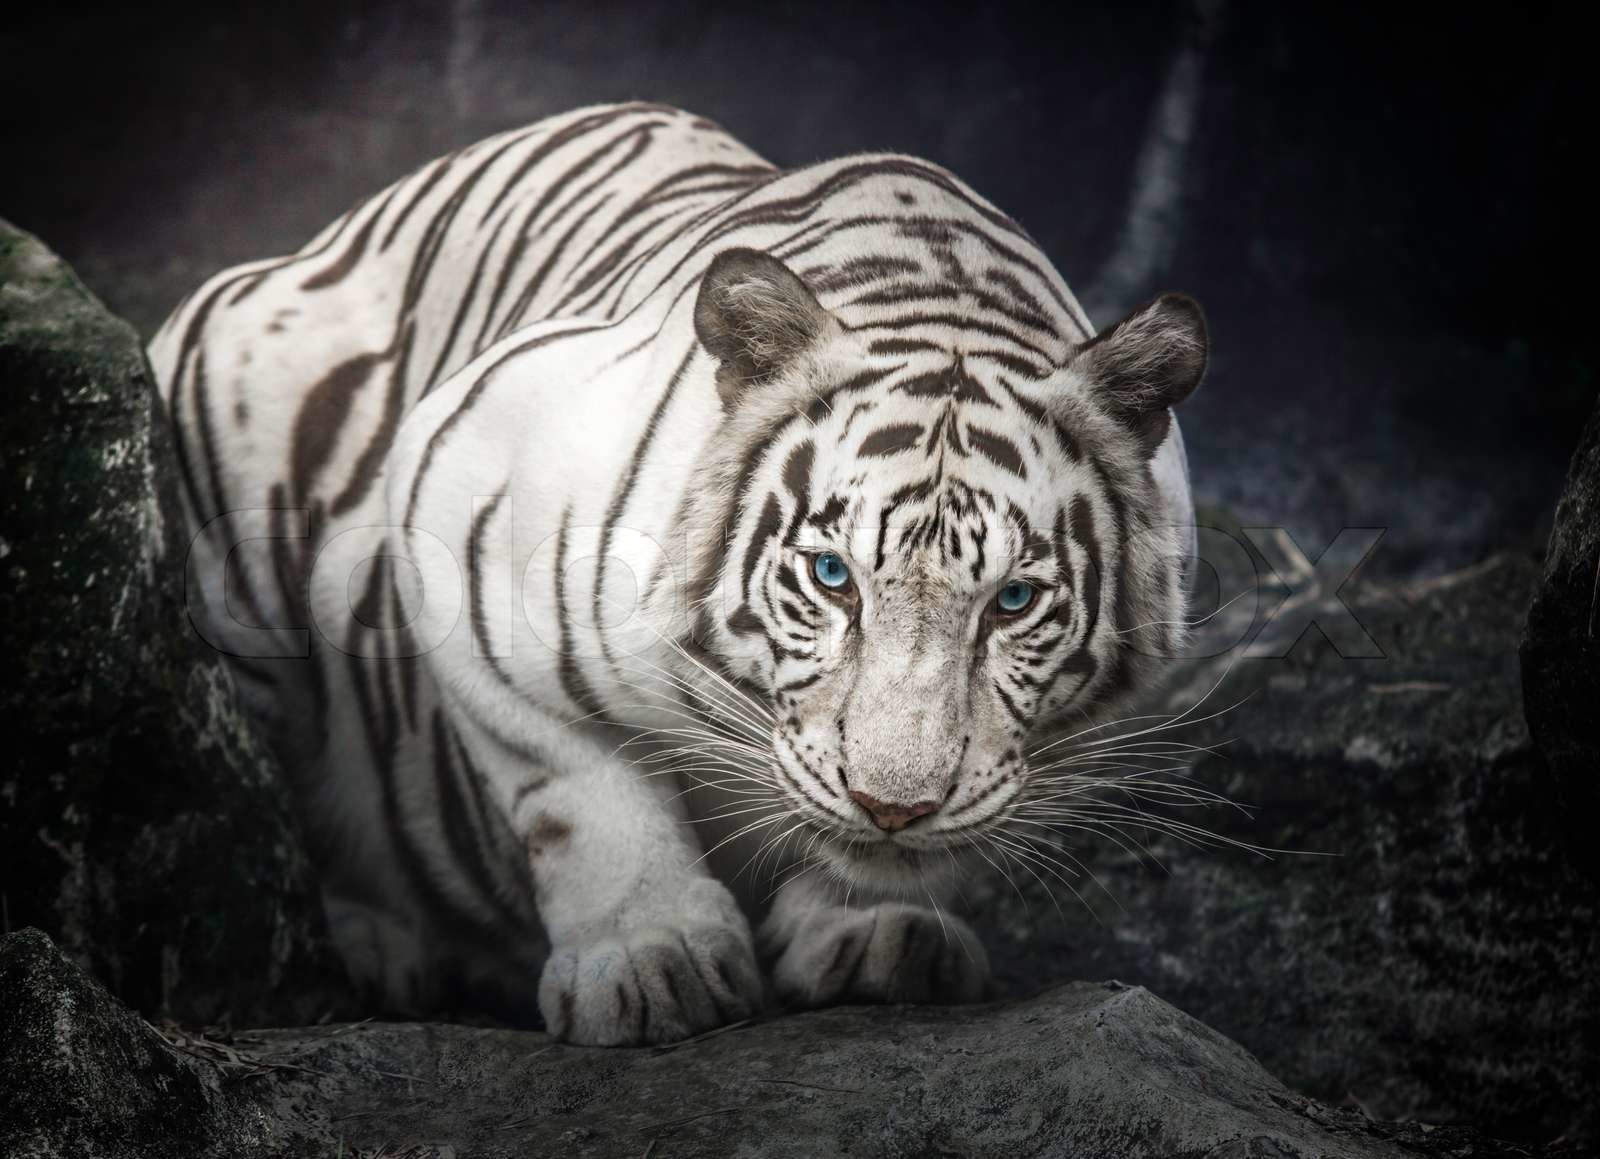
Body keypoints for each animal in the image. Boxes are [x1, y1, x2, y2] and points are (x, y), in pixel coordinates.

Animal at [149, 102, 1206, 1045]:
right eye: (833, 576)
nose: (893, 806)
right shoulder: (460, 508)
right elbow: (576, 786)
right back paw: (375, 946)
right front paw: (650, 965)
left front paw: (883, 930)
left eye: (1014, 600)